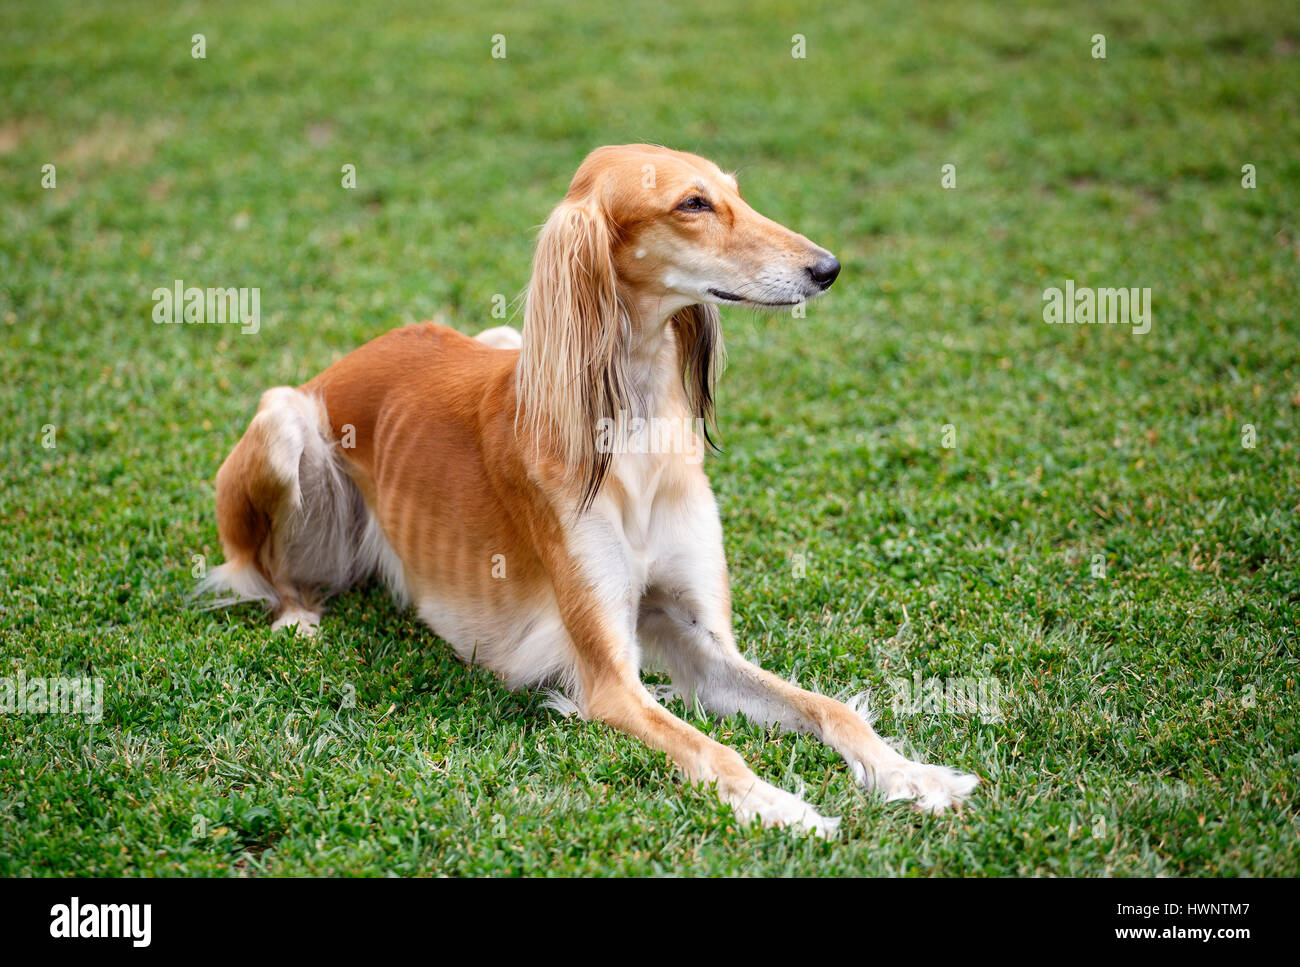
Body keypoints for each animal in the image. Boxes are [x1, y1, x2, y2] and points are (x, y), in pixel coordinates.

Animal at [200, 145, 977, 837]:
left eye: (732, 190)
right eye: (693, 204)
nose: (828, 268)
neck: (636, 436)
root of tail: (352, 357)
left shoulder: (700, 638)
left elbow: (828, 706)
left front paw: (912, 774)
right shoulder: (609, 678)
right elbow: (709, 747)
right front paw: (779, 804)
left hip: (503, 336)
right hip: (282, 420)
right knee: (257, 568)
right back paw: (298, 618)